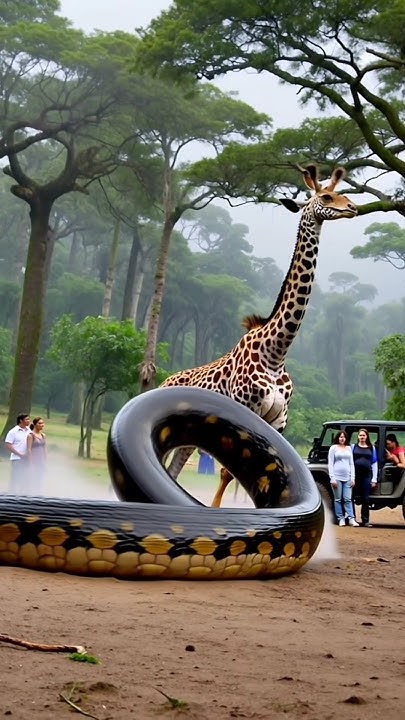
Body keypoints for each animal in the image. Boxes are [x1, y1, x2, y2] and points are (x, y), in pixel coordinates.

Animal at [162, 164, 357, 506]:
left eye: (342, 193)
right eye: (326, 196)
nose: (353, 208)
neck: (276, 351)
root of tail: (161, 382)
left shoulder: (278, 421)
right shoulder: (243, 411)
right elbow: (228, 472)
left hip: (187, 439)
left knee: (173, 471)